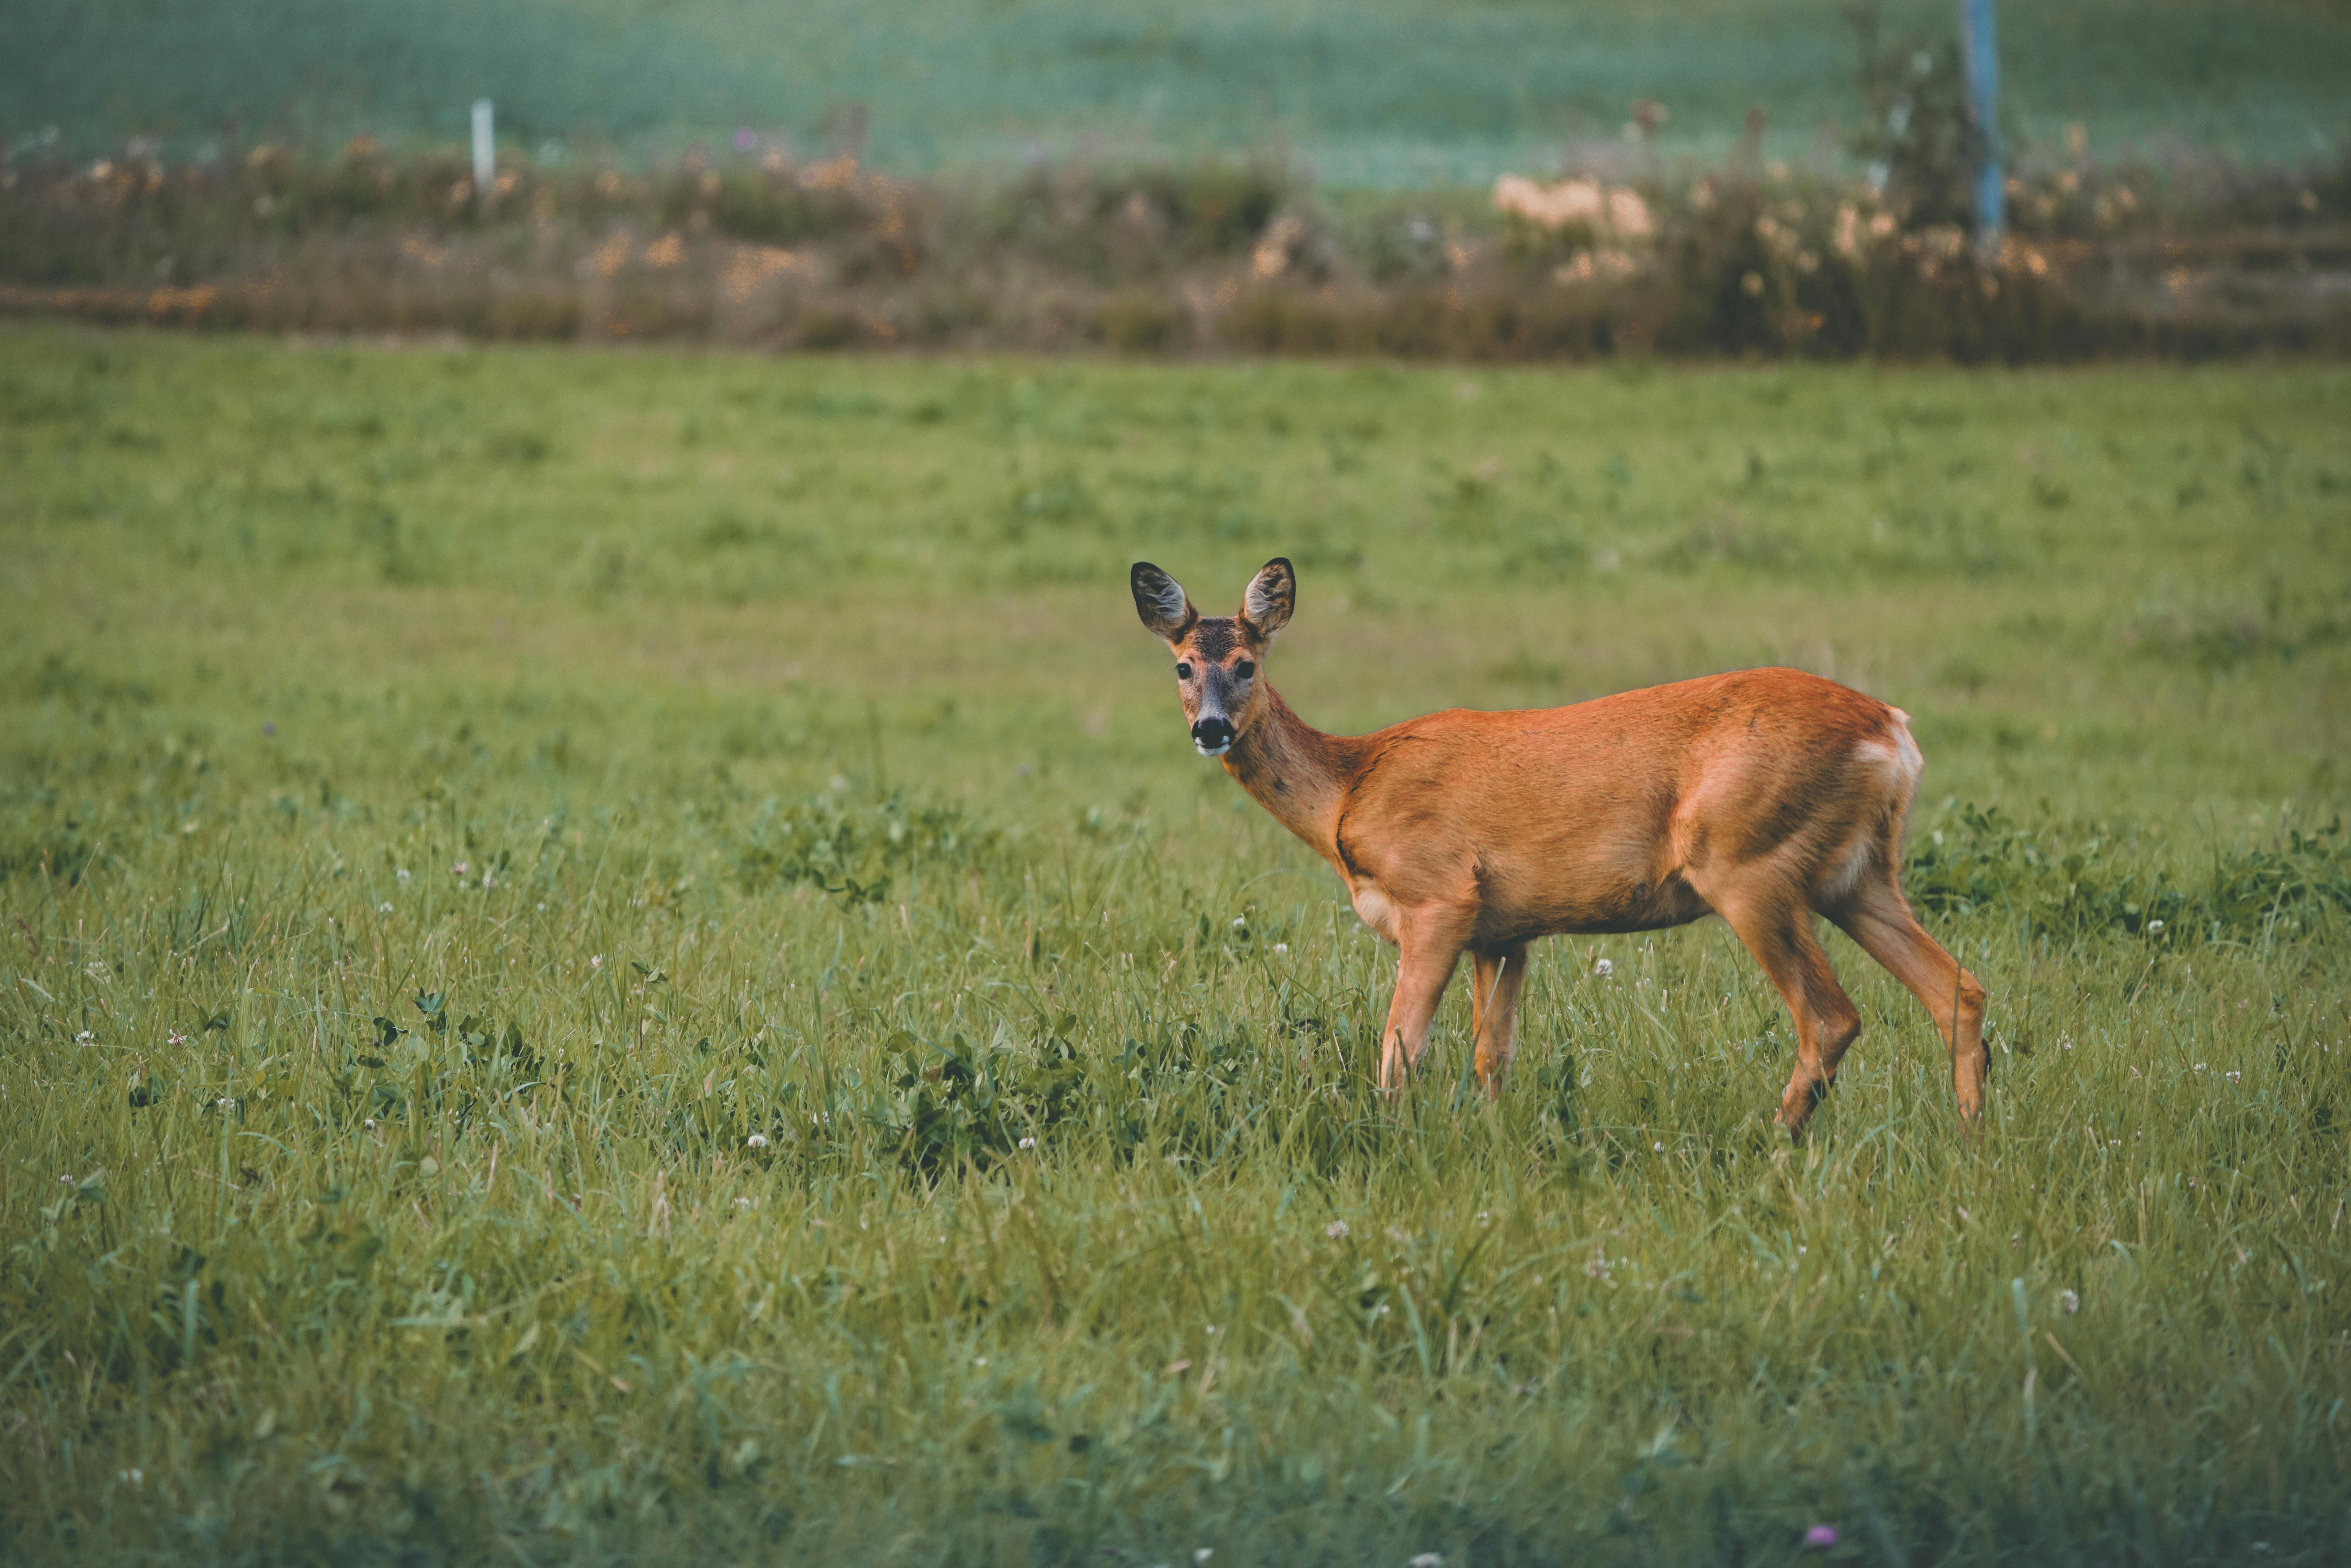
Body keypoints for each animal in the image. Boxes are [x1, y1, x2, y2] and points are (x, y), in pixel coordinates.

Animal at [1129, 556, 1988, 1137]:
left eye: (1246, 664)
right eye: (1182, 666)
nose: (1211, 729)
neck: (1349, 790)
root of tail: (1891, 730)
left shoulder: (1440, 896)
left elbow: (1399, 1048)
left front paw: (1390, 1139)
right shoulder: (1505, 930)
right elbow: (1492, 1055)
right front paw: (1488, 1139)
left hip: (1746, 861)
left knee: (1831, 1016)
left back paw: (1771, 1143)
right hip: (1858, 873)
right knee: (1958, 989)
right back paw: (1969, 1138)